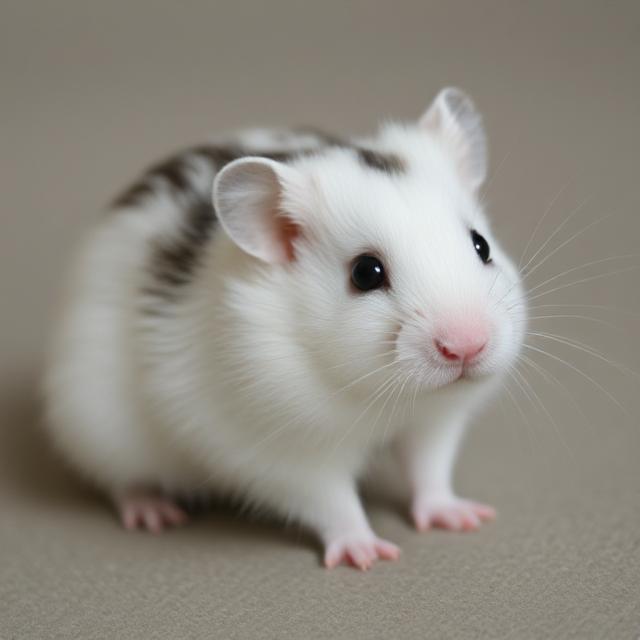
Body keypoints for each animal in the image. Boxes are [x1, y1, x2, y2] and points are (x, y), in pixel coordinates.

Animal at [44, 88, 526, 570]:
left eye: (481, 246)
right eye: (365, 273)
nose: (467, 347)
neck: (379, 393)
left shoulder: (435, 421)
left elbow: (429, 469)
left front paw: (461, 517)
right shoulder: (286, 453)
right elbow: (332, 500)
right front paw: (366, 554)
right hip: (96, 422)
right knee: (121, 481)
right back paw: (154, 512)